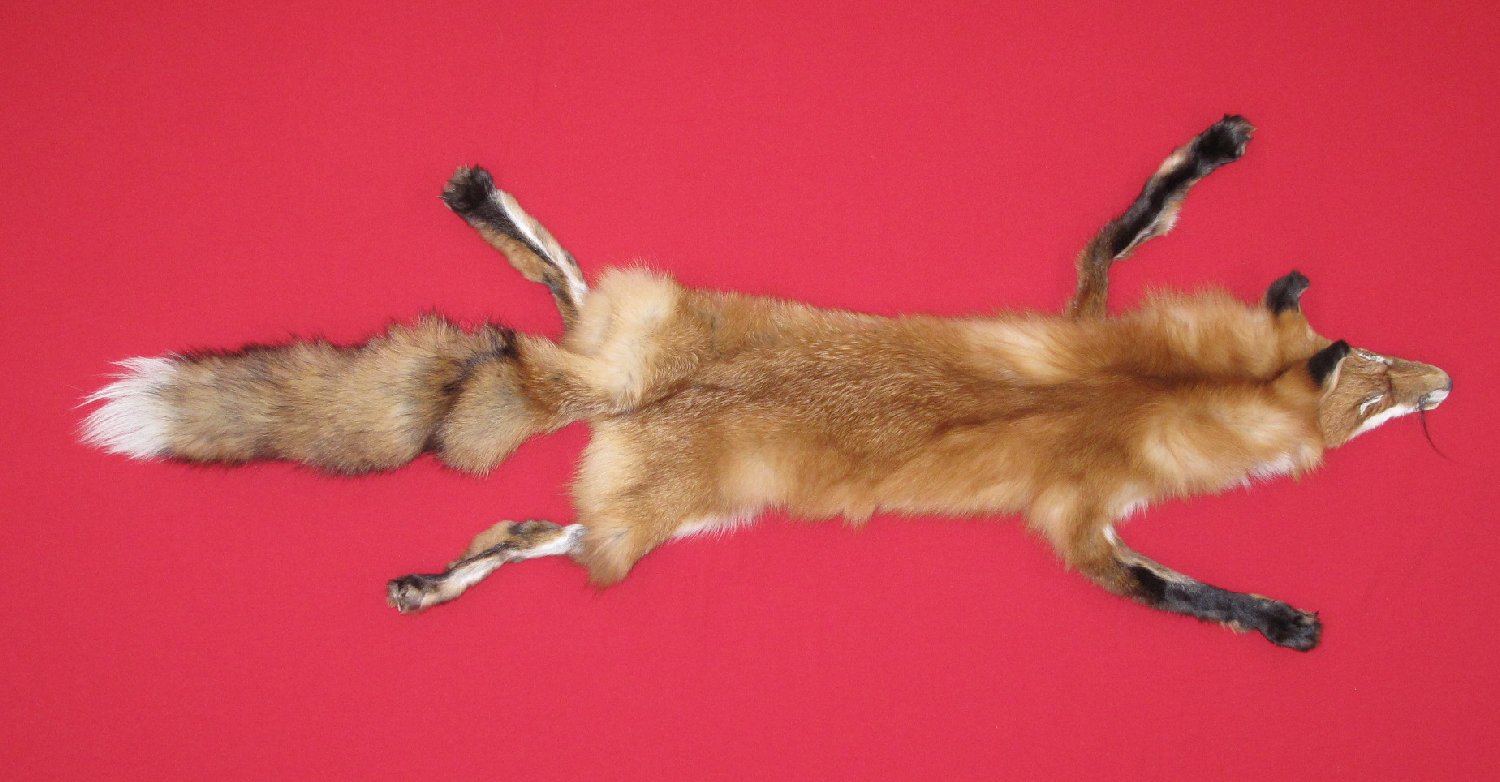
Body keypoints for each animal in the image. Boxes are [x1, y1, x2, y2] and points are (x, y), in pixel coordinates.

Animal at [81, 116, 1451, 651]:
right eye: (1378, 393)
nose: (1445, 378)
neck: (1150, 389)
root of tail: (622, 405)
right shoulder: (1082, 520)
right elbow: (1182, 589)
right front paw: (1279, 619)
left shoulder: (1085, 312)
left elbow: (1138, 212)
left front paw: (1208, 153)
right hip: (653, 519)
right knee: (534, 528)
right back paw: (436, 578)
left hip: (636, 338)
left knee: (558, 325)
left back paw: (485, 212)